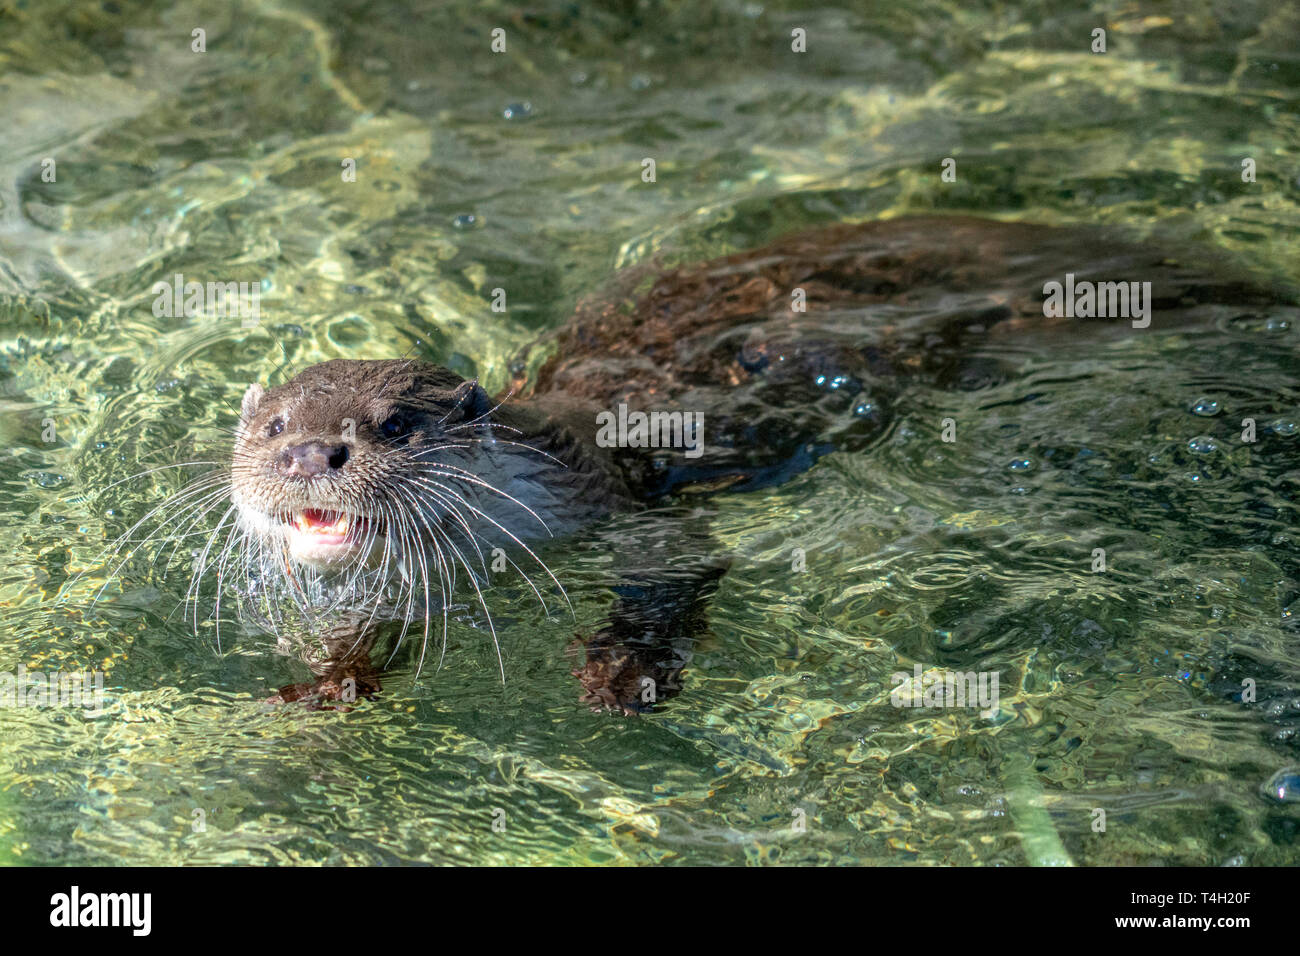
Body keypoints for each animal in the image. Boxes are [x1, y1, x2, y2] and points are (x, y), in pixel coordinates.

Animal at [202, 217, 1294, 710]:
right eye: (272, 423)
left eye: (390, 425)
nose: (307, 453)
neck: (540, 506)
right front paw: (331, 681)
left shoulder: (642, 505)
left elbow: (674, 580)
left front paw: (624, 670)